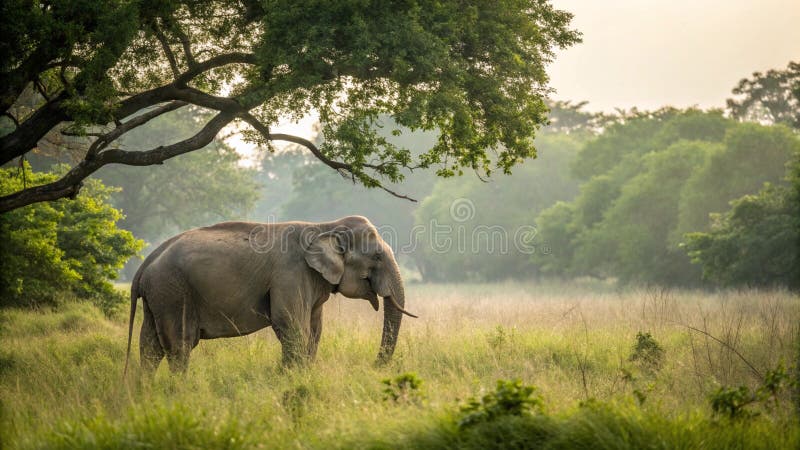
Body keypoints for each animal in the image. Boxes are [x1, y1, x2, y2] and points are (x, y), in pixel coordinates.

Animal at [123, 215, 416, 376]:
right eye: (376, 257)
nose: (374, 366)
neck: (326, 225)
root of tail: (145, 265)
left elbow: (314, 330)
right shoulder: (291, 273)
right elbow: (292, 325)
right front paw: (290, 378)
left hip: (159, 297)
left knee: (150, 347)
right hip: (173, 292)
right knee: (179, 346)